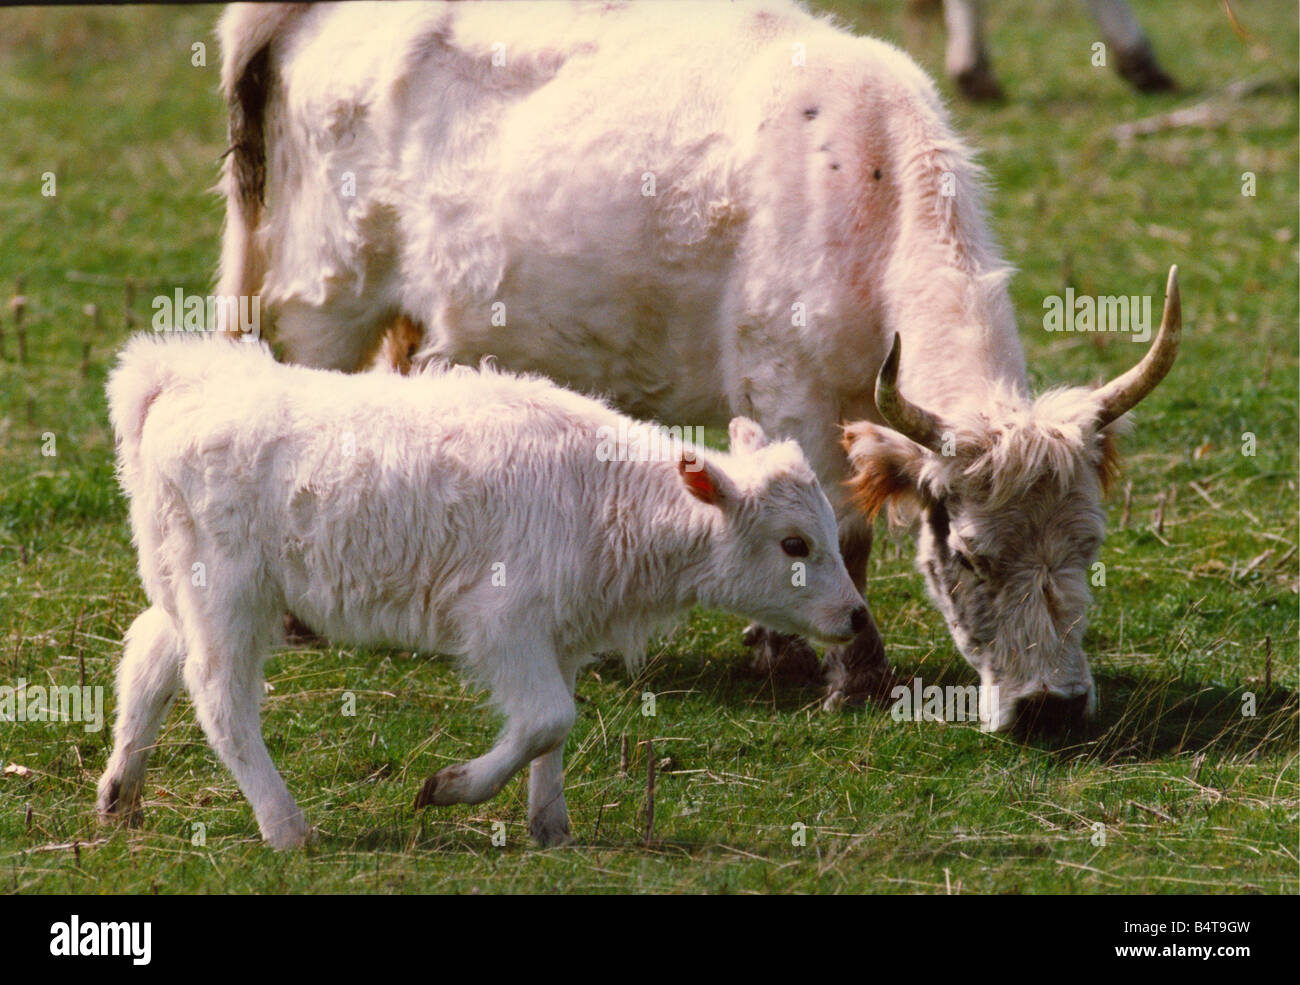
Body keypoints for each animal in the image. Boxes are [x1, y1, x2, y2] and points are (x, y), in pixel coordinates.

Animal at [96, 334, 866, 847]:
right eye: (795, 544)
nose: (857, 616)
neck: (605, 496)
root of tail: (179, 376)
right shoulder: (502, 623)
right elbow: (548, 718)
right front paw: (451, 788)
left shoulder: (560, 635)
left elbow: (554, 730)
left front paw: (551, 827)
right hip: (229, 590)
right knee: (219, 695)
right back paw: (287, 827)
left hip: (183, 583)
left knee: (149, 655)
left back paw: (119, 793)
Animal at [213, 0, 1182, 731]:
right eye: (973, 556)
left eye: (1090, 546)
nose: (1052, 708)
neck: (865, 181)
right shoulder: (790, 392)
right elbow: (841, 529)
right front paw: (853, 675)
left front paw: (779, 647)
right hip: (329, 298)